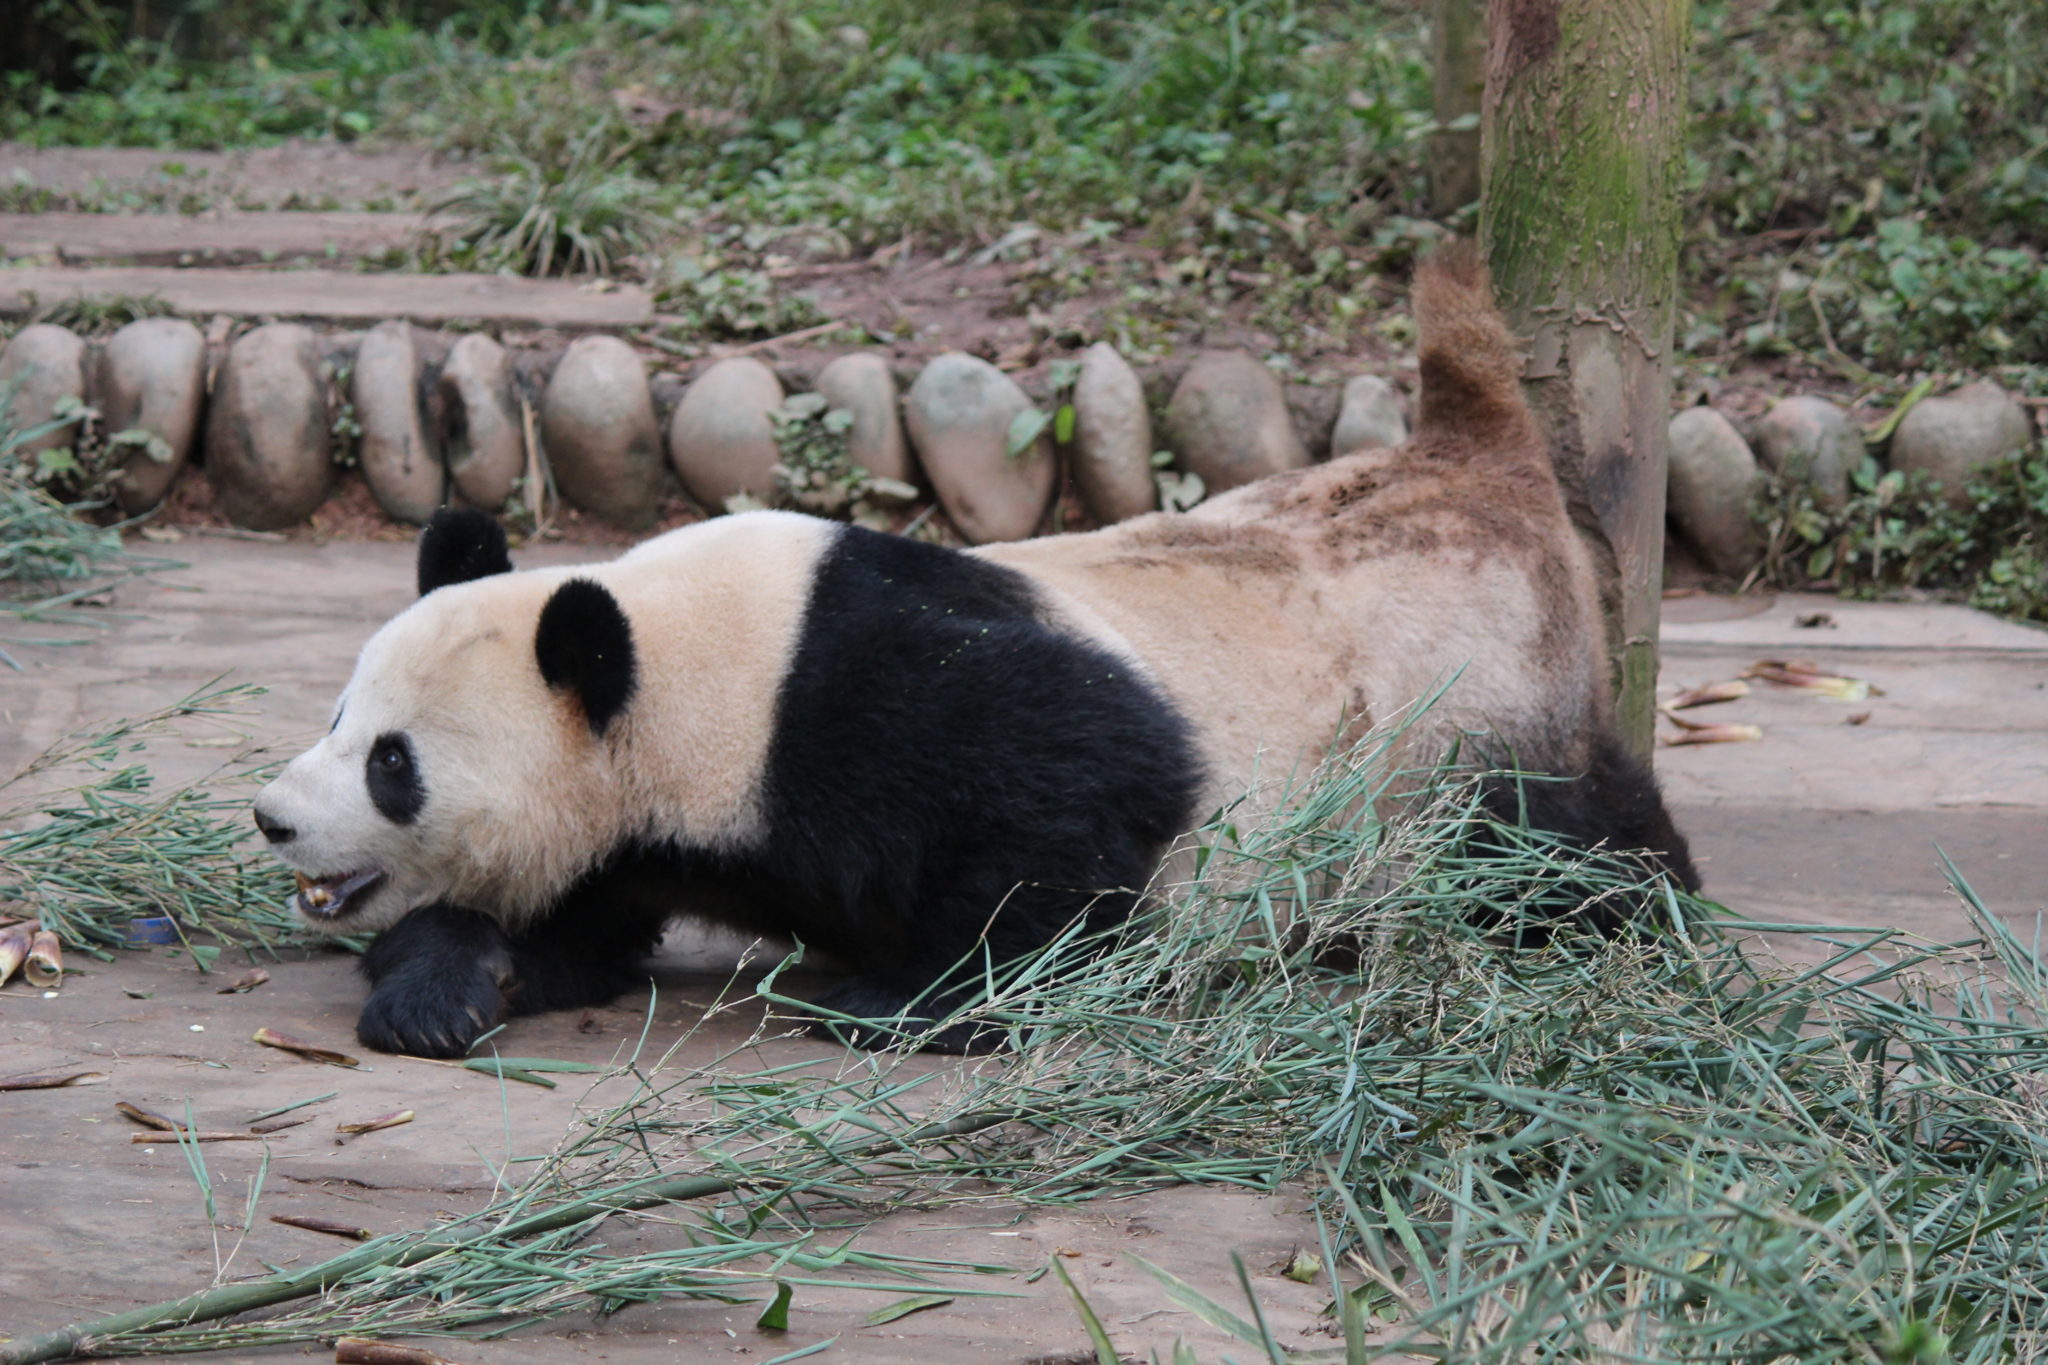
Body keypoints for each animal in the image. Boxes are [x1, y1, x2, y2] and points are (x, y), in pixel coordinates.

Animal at [252, 245, 1696, 1059]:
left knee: (1562, 830)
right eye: (336, 716)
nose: (271, 817)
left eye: (391, 762)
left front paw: (903, 998)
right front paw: (441, 988)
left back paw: (1629, 923)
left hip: (1466, 711)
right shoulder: (634, 819)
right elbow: (574, 933)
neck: (677, 662)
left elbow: (1084, 793)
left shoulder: (857, 694)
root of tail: (1477, 461)